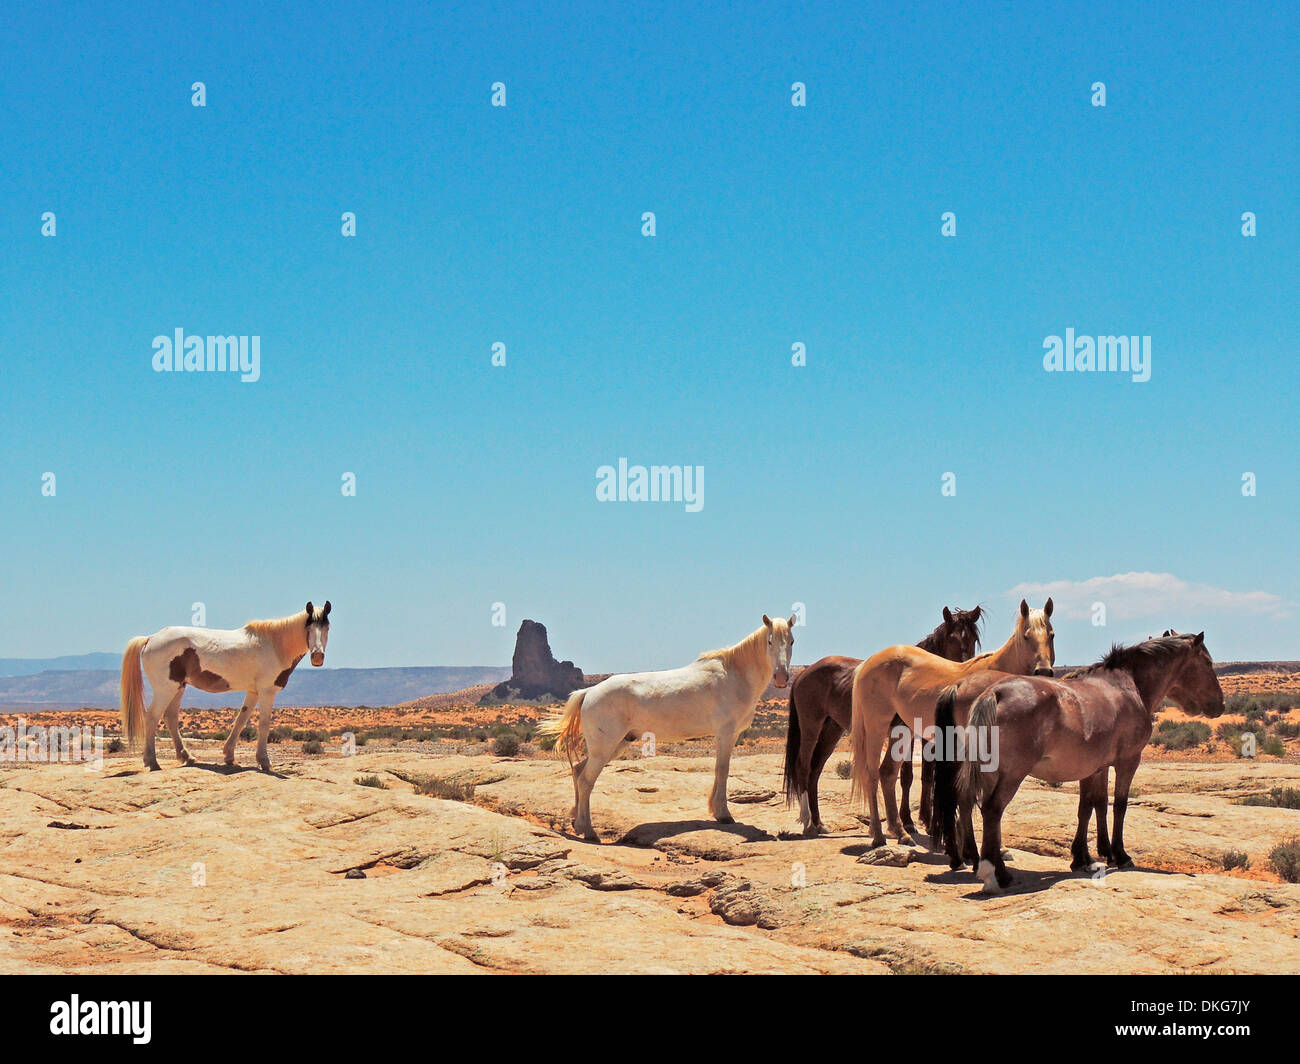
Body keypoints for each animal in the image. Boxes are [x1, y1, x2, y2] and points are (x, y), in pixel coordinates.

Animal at [120, 601, 332, 772]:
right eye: (309, 627)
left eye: (327, 627)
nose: (317, 657)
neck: (274, 645)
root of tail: (150, 638)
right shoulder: (267, 692)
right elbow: (264, 724)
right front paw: (264, 761)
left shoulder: (253, 691)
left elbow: (241, 719)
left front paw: (229, 756)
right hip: (165, 689)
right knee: (152, 718)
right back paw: (152, 762)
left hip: (179, 687)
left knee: (170, 717)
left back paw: (186, 757)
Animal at [539, 613, 796, 840]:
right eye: (770, 641)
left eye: (791, 641)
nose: (782, 677)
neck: (734, 675)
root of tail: (589, 691)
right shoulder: (725, 733)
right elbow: (722, 770)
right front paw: (724, 815)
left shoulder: (727, 736)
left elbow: (719, 770)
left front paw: (716, 811)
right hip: (604, 748)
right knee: (586, 780)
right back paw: (589, 831)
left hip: (614, 745)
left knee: (578, 771)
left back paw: (577, 823)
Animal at [781, 605, 984, 836]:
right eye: (951, 639)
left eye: (973, 639)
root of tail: (803, 673)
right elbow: (906, 776)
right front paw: (908, 822)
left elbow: (927, 776)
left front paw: (927, 822)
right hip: (811, 726)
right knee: (803, 766)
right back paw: (808, 823)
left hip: (831, 731)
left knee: (815, 771)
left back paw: (818, 823)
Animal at [848, 598, 1055, 848]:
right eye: (1026, 636)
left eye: (1051, 635)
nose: (1043, 671)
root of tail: (869, 662)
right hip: (876, 728)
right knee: (871, 774)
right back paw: (879, 836)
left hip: (902, 730)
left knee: (887, 773)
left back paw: (902, 832)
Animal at [932, 631, 1224, 891]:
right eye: (1208, 663)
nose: (1219, 705)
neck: (1126, 686)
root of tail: (993, 693)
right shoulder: (1127, 761)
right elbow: (1119, 806)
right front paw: (1120, 854)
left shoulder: (1093, 768)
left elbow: (1089, 807)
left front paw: (1083, 857)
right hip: (1011, 774)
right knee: (991, 810)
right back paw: (997, 873)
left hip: (986, 771)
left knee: (972, 804)